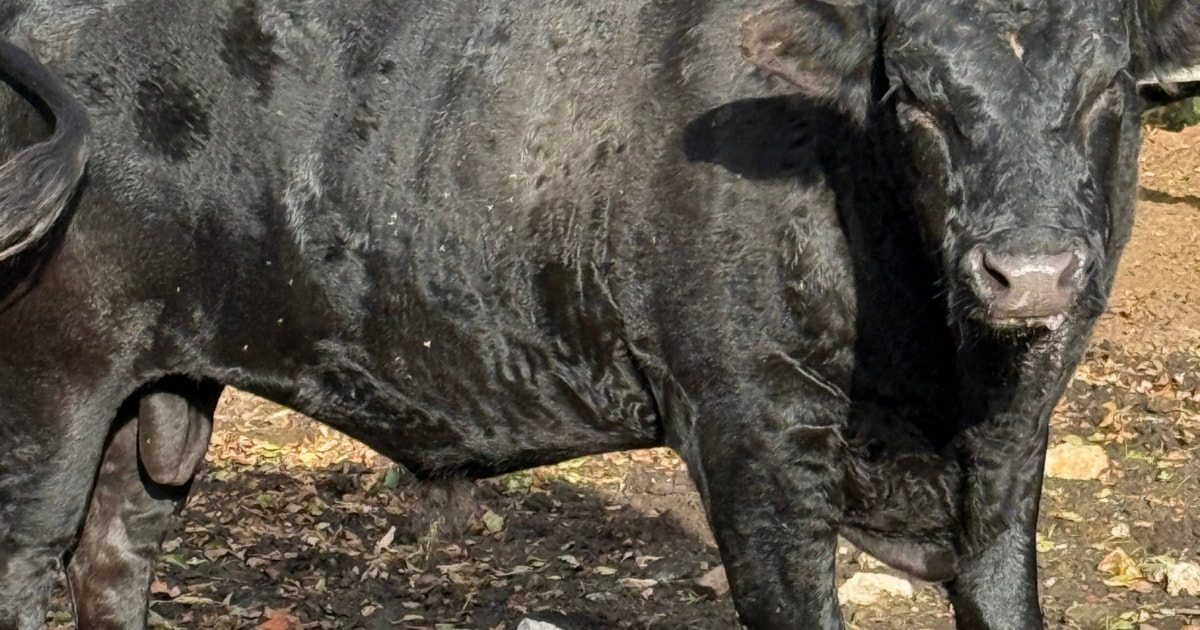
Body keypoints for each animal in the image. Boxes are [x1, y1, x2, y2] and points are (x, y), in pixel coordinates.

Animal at [0, 0, 1196, 628]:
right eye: (916, 95)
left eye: (1108, 89)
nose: (1029, 274)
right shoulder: (752, 435)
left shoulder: (1008, 463)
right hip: (50, 385)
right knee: (29, 561)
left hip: (158, 387)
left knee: (112, 555)